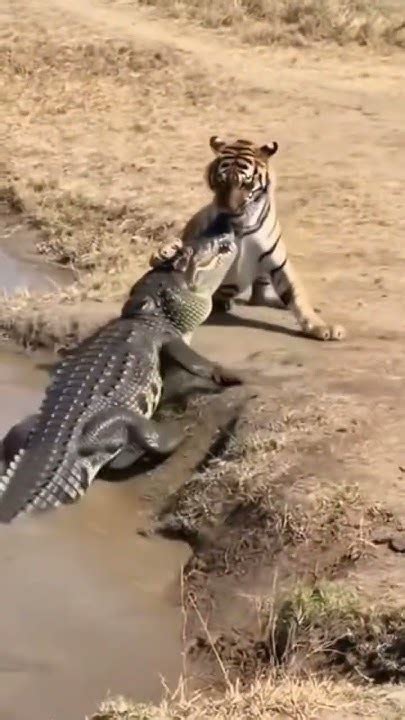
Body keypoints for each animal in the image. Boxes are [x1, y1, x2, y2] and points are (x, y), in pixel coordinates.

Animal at [181, 136, 345, 341]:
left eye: (245, 184)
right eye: (220, 182)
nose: (228, 211)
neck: (240, 224)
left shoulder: (278, 263)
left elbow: (296, 296)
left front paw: (320, 327)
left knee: (259, 296)